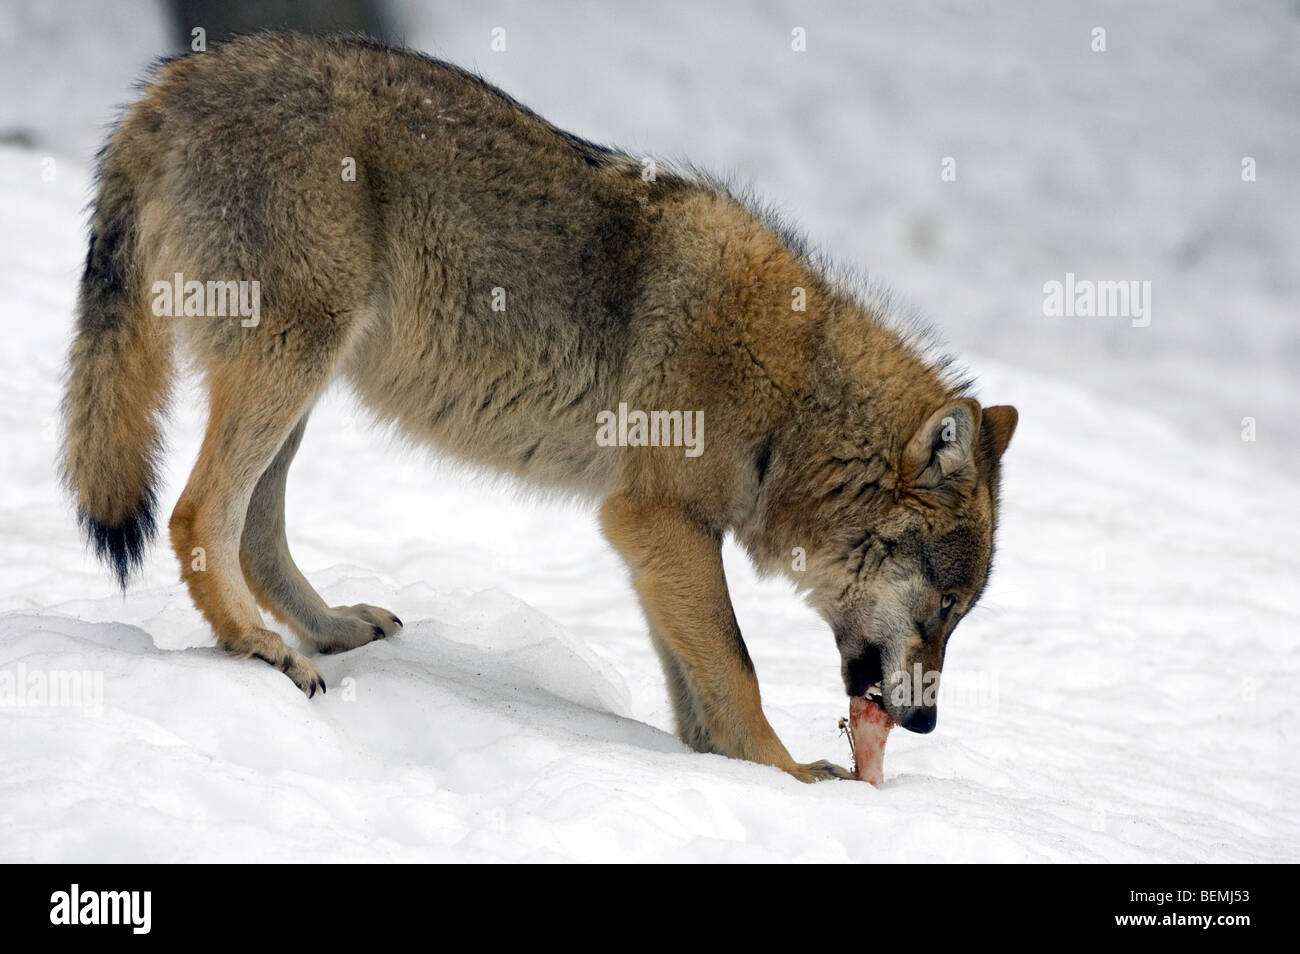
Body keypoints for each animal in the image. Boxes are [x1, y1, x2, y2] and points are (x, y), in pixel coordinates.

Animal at [60, 33, 1018, 782]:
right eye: (942, 610)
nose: (926, 723)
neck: (795, 399)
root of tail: (171, 83)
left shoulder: (650, 539)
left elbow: (697, 689)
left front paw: (722, 771)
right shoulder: (660, 519)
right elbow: (738, 669)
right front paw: (790, 779)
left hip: (304, 380)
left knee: (255, 530)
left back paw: (327, 631)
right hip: (290, 363)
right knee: (196, 515)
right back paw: (260, 648)